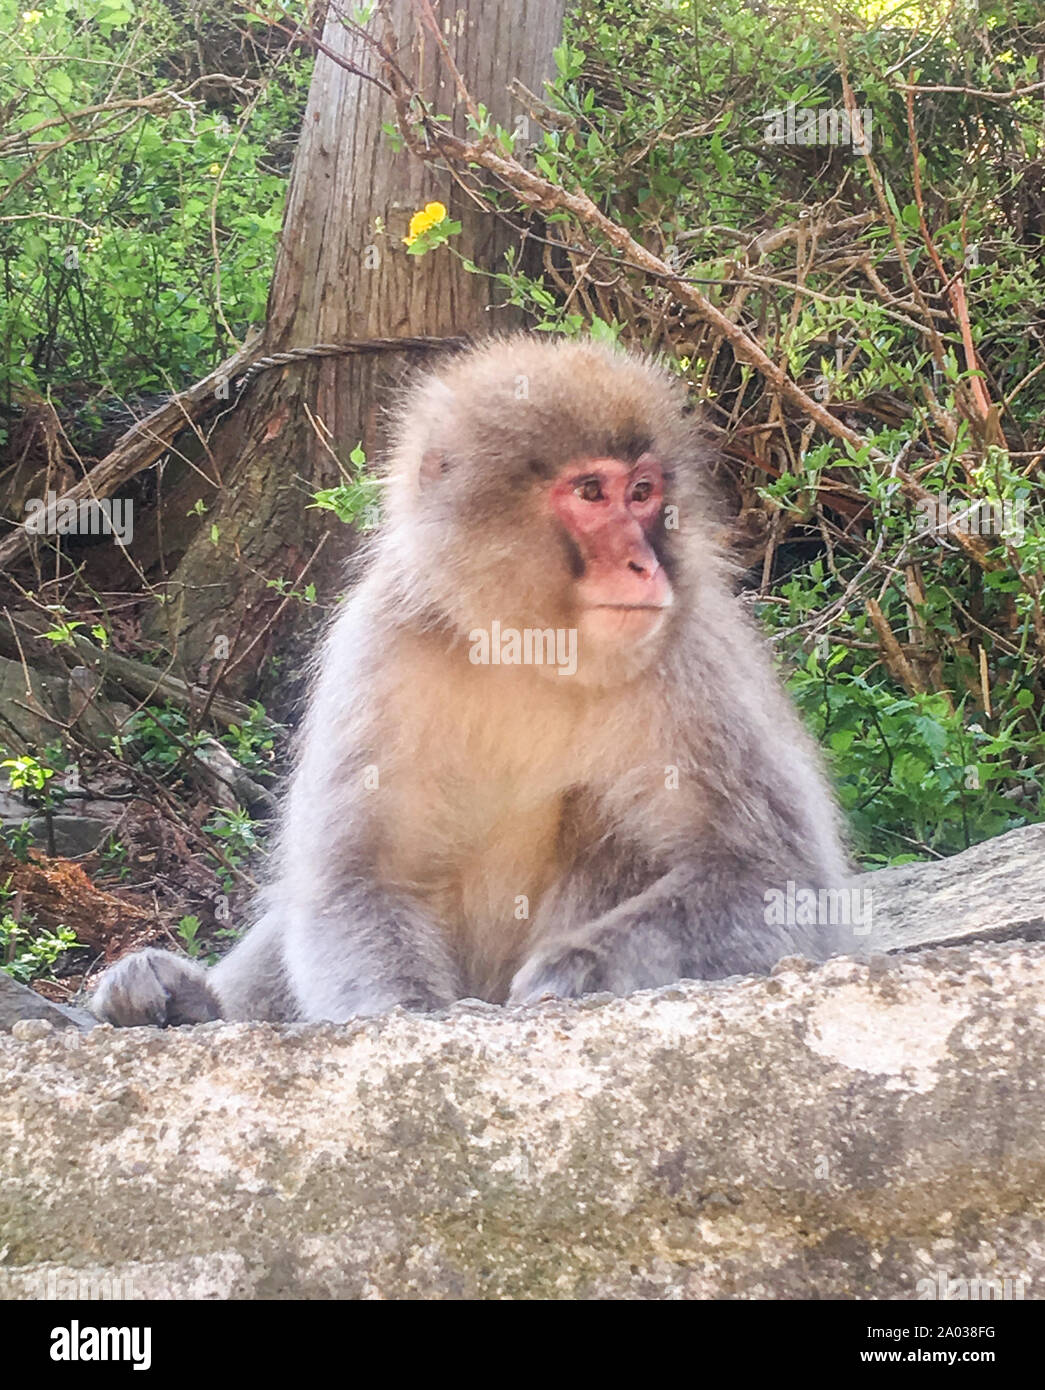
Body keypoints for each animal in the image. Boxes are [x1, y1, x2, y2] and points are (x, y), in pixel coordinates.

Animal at [91, 334, 850, 1027]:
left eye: (642, 493)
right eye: (590, 492)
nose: (644, 564)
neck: (530, 646)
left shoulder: (690, 660)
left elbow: (777, 881)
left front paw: (577, 970)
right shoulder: (380, 646)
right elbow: (357, 880)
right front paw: (403, 1015)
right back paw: (181, 1001)